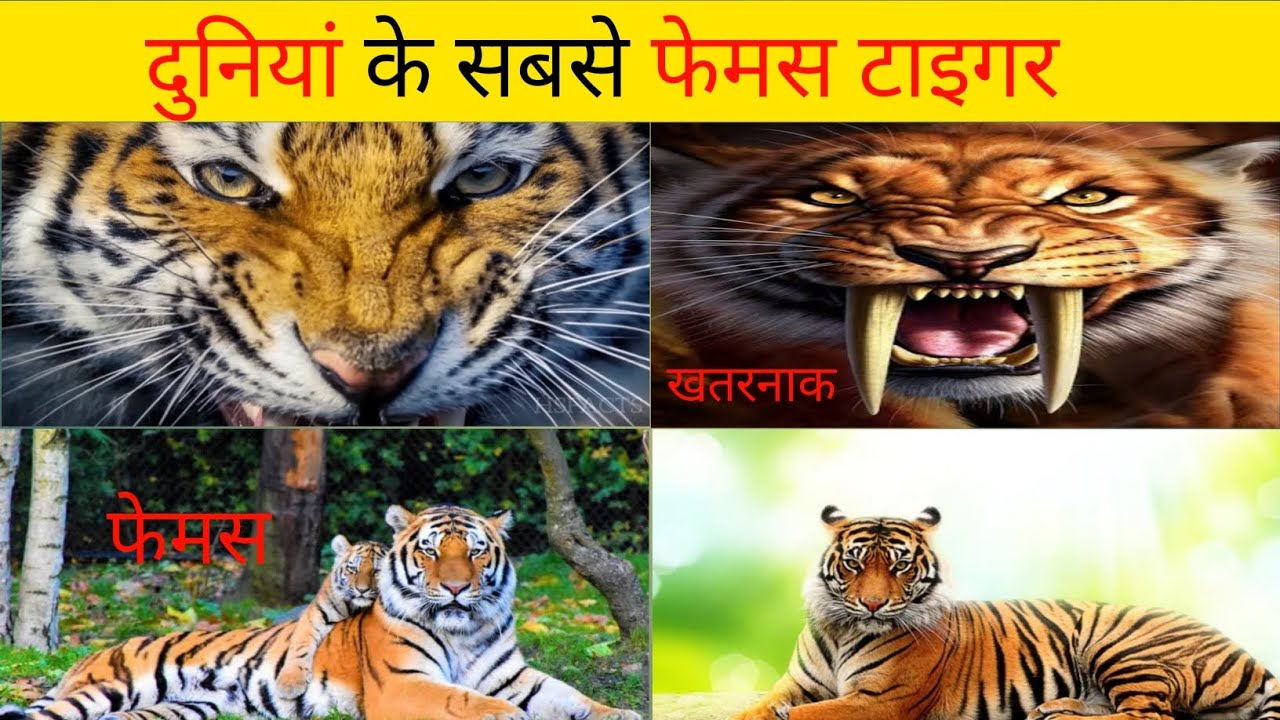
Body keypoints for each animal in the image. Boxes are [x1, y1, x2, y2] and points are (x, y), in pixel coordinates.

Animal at [275, 535, 386, 700]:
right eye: (353, 569)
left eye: (376, 571)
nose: (362, 590)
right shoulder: (314, 615)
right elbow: (300, 646)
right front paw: (290, 683)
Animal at [732, 505, 1280, 720]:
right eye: (854, 563)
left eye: (901, 565)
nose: (873, 603)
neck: (845, 630)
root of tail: (1245, 652)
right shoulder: (795, 683)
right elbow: (756, 709)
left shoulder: (881, 701)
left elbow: (805, 715)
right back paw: (1056, 709)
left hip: (1120, 644)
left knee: (1147, 716)